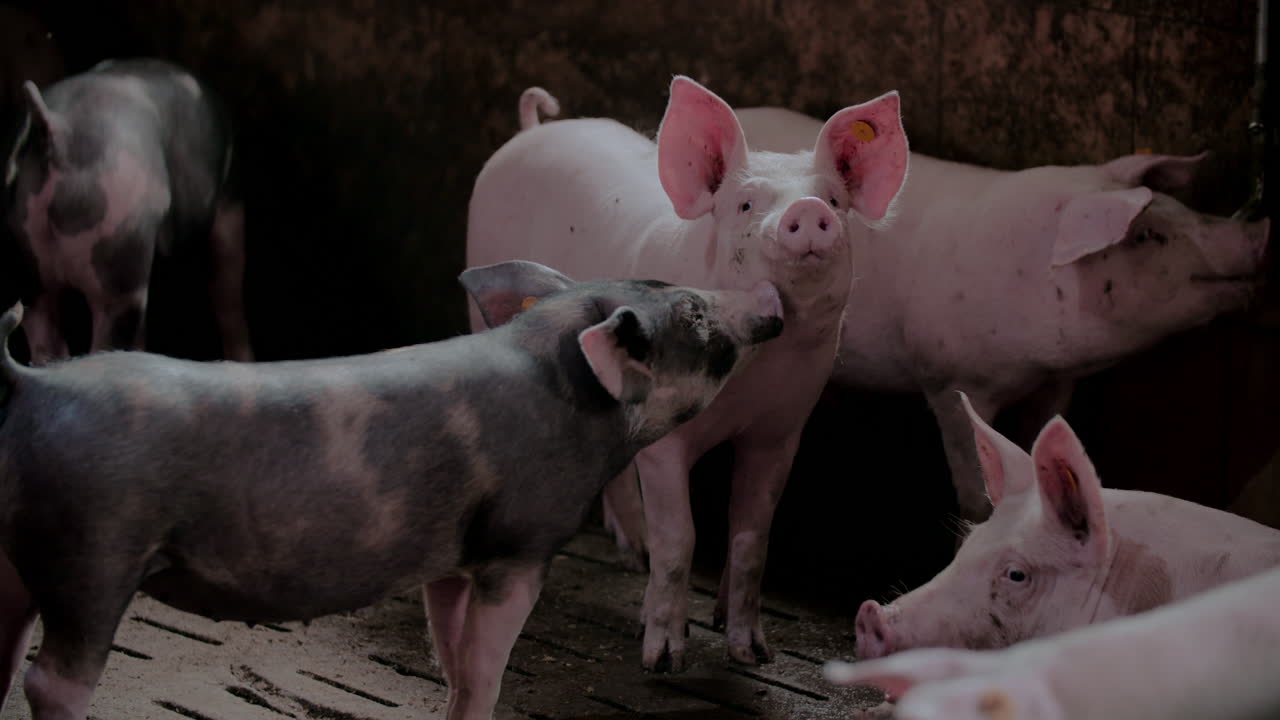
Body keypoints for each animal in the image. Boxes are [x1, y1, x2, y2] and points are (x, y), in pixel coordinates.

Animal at [0, 259, 785, 720]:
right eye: (693, 316)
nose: (771, 295)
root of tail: (32, 384)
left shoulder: (450, 555)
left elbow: (453, 656)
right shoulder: (521, 544)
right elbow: (486, 667)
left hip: (23, 554)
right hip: (96, 551)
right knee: (52, 680)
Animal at [3, 58, 252, 365]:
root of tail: (56, 129)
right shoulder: (231, 201)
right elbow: (227, 284)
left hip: (22, 263)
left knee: (46, 340)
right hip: (121, 243)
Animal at [467, 77, 909, 670]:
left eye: (835, 200)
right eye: (745, 205)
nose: (810, 209)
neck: (755, 373)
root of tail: (532, 129)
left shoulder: (781, 428)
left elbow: (751, 540)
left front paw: (752, 654)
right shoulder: (665, 439)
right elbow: (681, 538)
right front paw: (663, 662)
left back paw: (634, 556)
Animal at [734, 105, 1270, 522]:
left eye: (1179, 208)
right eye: (1145, 234)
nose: (1256, 229)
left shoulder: (1055, 380)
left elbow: (1044, 431)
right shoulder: (950, 376)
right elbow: (972, 471)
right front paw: (983, 515)